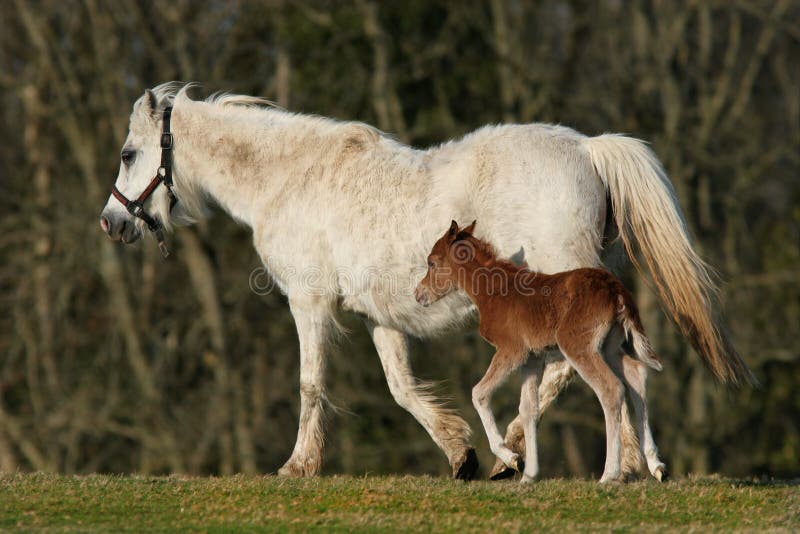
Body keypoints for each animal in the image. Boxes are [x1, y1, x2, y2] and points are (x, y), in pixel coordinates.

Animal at [415, 220, 666, 483]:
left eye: (431, 262)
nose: (419, 294)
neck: (493, 290)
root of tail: (616, 290)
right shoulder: (532, 358)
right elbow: (529, 409)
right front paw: (529, 475)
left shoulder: (512, 350)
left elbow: (479, 393)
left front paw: (511, 459)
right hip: (609, 345)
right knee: (636, 375)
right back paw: (656, 466)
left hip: (577, 345)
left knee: (611, 389)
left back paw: (609, 473)